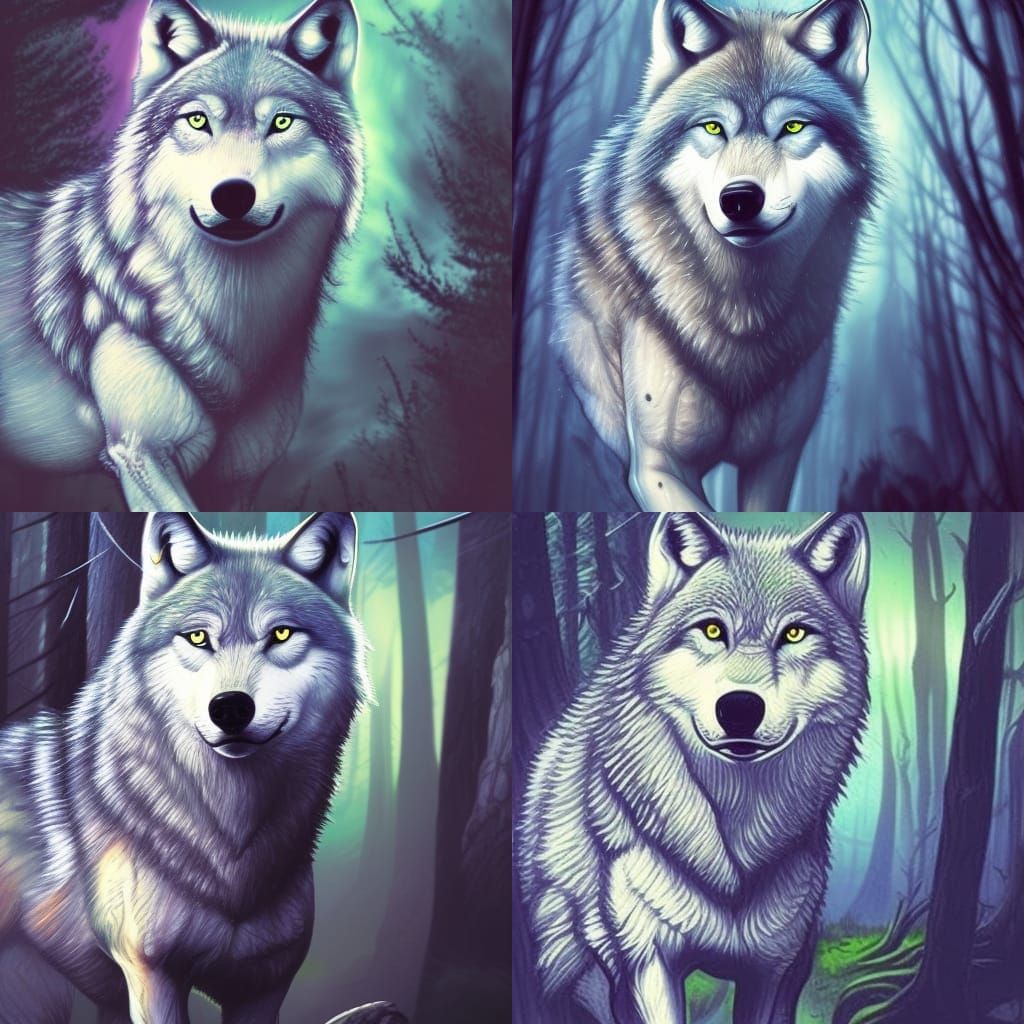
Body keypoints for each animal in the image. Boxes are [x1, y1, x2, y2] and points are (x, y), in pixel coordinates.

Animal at [0, 511, 371, 1023]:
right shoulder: (151, 975)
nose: (231, 708)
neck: (233, 854)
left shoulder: (264, 985)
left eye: (280, 634)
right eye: (198, 637)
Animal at [556, 0, 879, 512]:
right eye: (713, 127)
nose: (741, 199)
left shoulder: (776, 459)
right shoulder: (657, 465)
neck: (742, 316)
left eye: (792, 126)